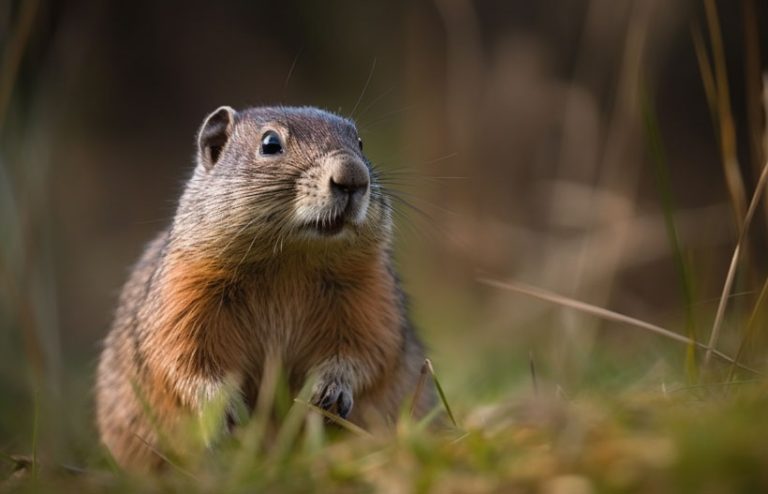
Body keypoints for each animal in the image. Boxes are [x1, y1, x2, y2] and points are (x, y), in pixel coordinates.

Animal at [95, 106, 435, 470]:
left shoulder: (372, 293)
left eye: (359, 142)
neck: (290, 262)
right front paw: (225, 412)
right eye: (270, 144)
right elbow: (183, 356)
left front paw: (328, 394)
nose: (353, 176)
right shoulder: (182, 293)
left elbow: (368, 347)